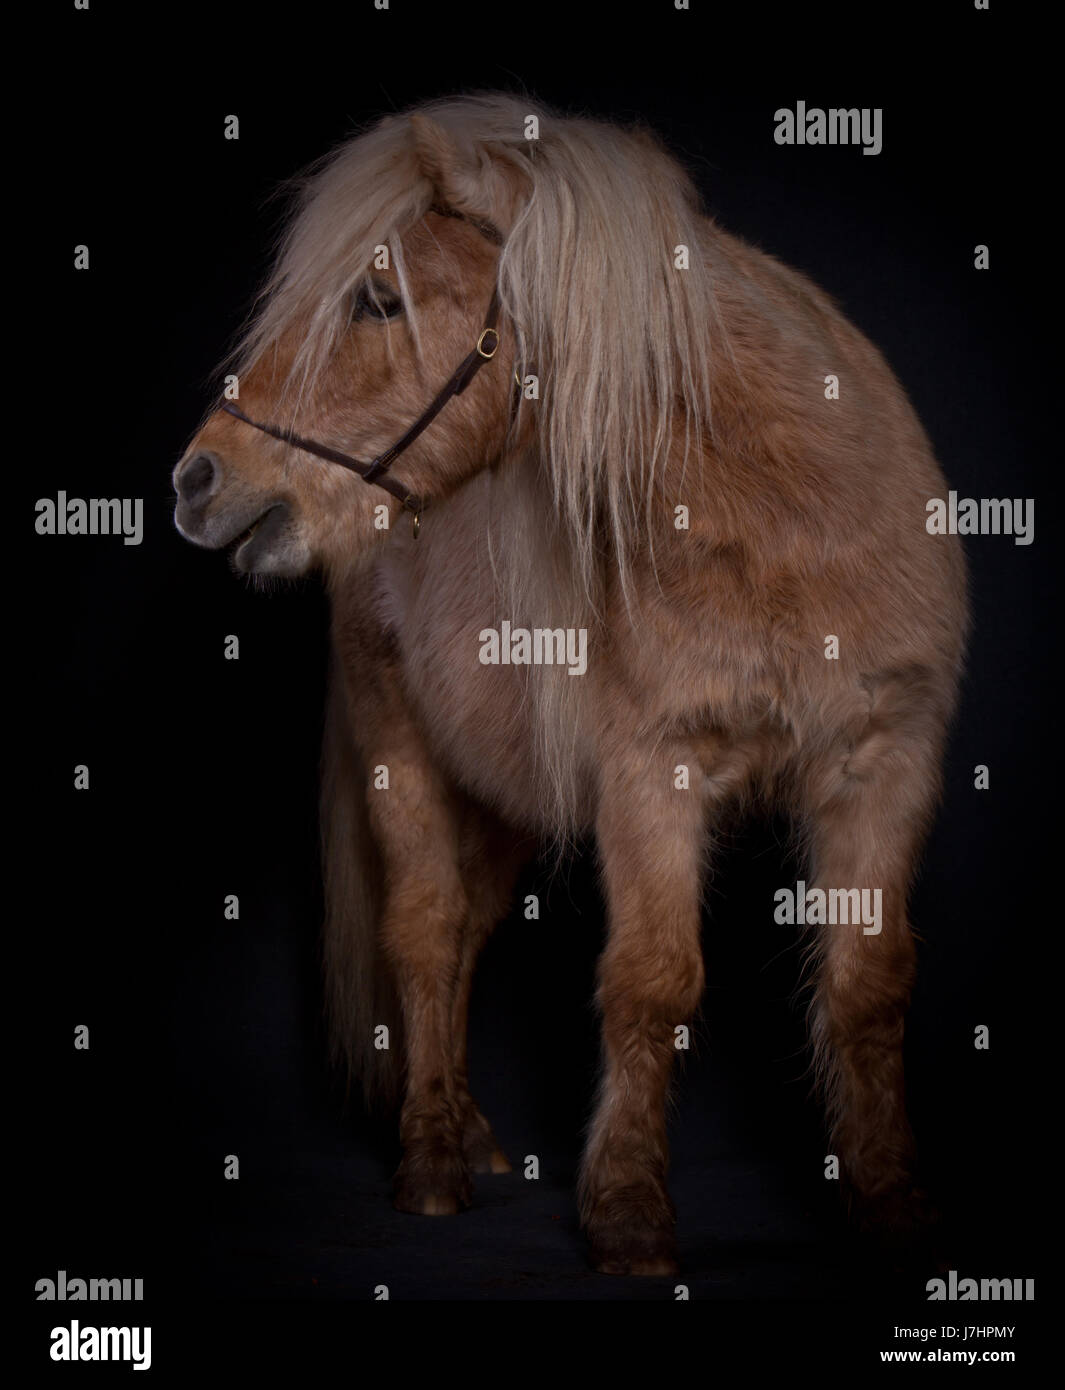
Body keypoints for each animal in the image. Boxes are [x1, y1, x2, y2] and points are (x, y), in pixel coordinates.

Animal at [173, 93, 967, 1276]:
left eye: (376, 298)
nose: (198, 478)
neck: (786, 525)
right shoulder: (653, 776)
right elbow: (652, 981)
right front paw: (629, 1211)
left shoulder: (885, 764)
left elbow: (870, 985)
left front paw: (890, 1202)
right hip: (399, 750)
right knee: (424, 931)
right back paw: (432, 1160)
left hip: (504, 799)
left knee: (464, 936)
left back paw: (467, 1130)